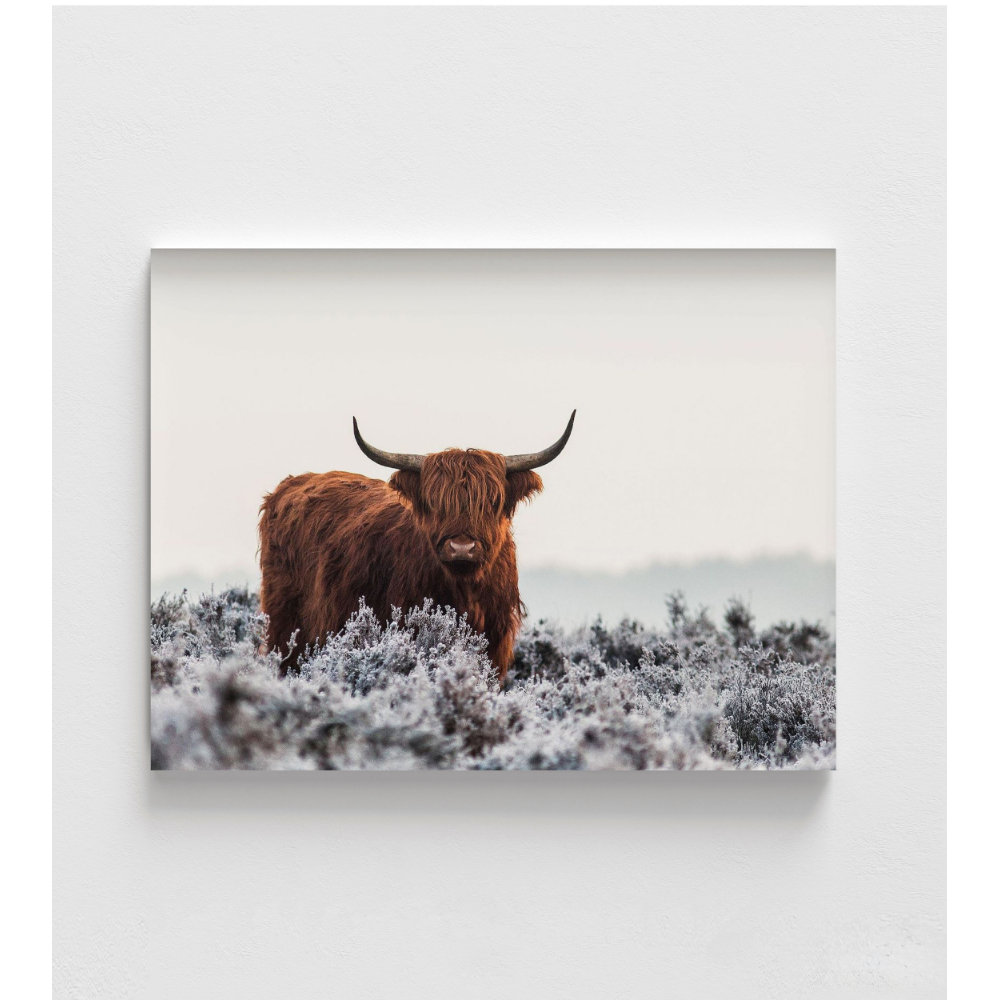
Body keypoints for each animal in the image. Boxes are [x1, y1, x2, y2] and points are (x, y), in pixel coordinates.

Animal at [258, 412, 575, 684]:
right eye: (435, 501)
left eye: (492, 501)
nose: (462, 547)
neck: (465, 591)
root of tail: (291, 485)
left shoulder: (495, 644)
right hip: (284, 625)